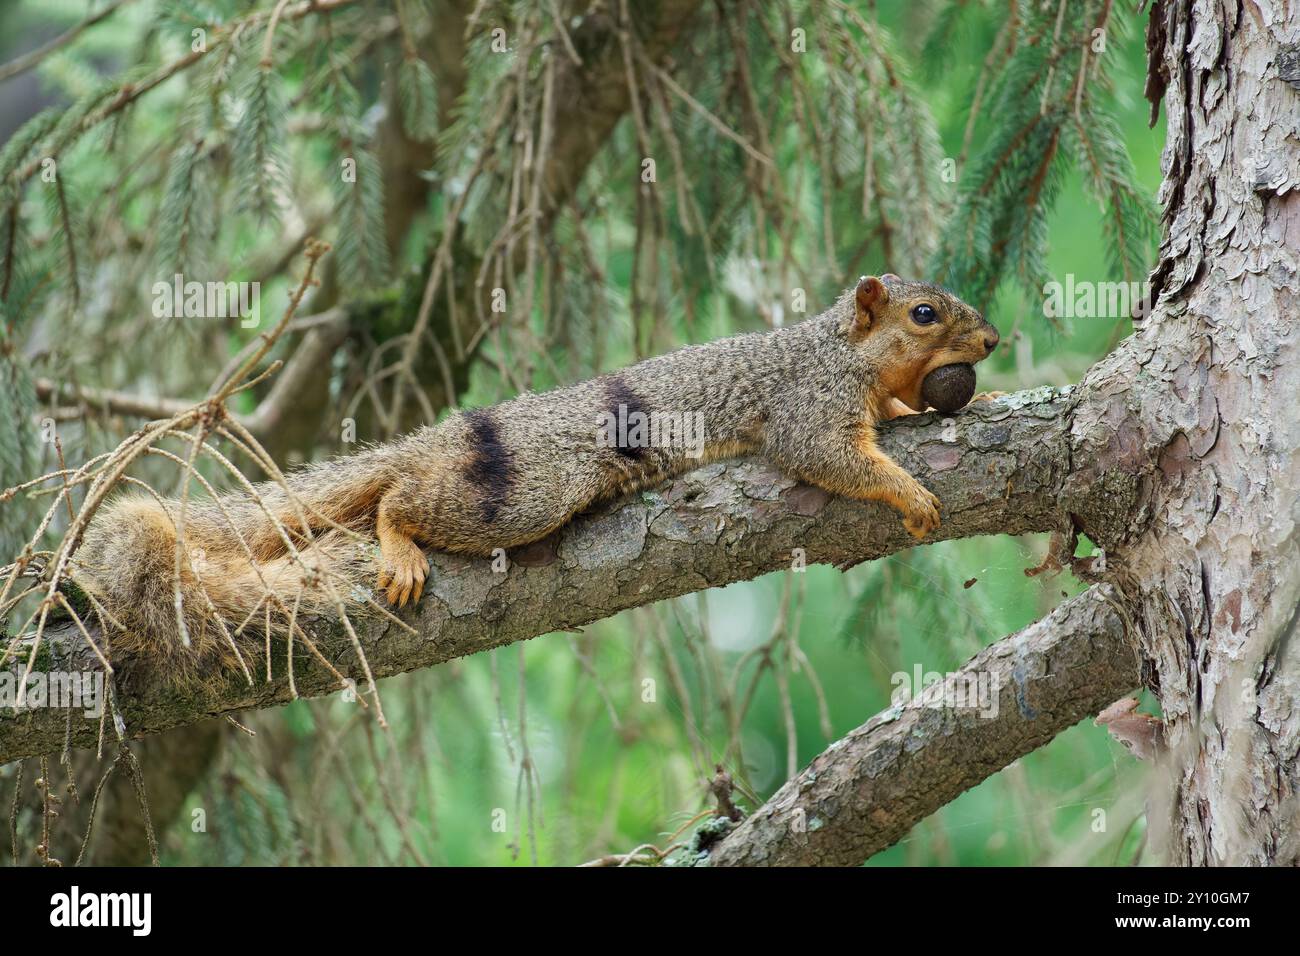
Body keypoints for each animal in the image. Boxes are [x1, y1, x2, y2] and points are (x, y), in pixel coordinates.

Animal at [73, 275, 998, 683]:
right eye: (924, 314)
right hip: (520, 493)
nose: (992, 341)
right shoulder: (808, 400)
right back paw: (399, 543)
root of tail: (441, 437)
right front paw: (911, 492)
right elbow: (830, 456)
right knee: (401, 500)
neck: (841, 350)